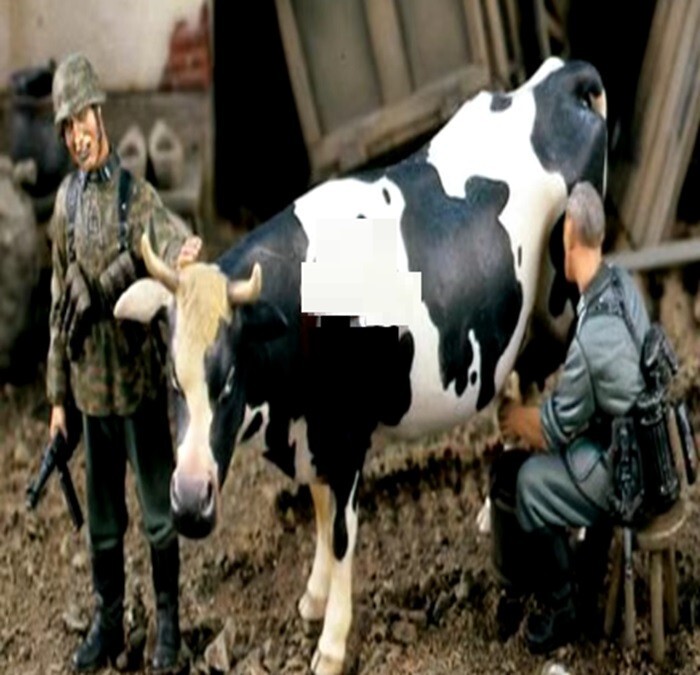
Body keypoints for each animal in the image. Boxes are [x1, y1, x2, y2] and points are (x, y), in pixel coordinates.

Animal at [115, 57, 607, 675]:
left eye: (227, 382)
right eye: (171, 382)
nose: (187, 502)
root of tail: (561, 78)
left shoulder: (347, 435)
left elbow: (342, 530)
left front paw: (331, 642)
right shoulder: (316, 435)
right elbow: (320, 510)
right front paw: (313, 595)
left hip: (565, 304)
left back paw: (579, 521)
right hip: (517, 326)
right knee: (524, 387)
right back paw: (494, 510)